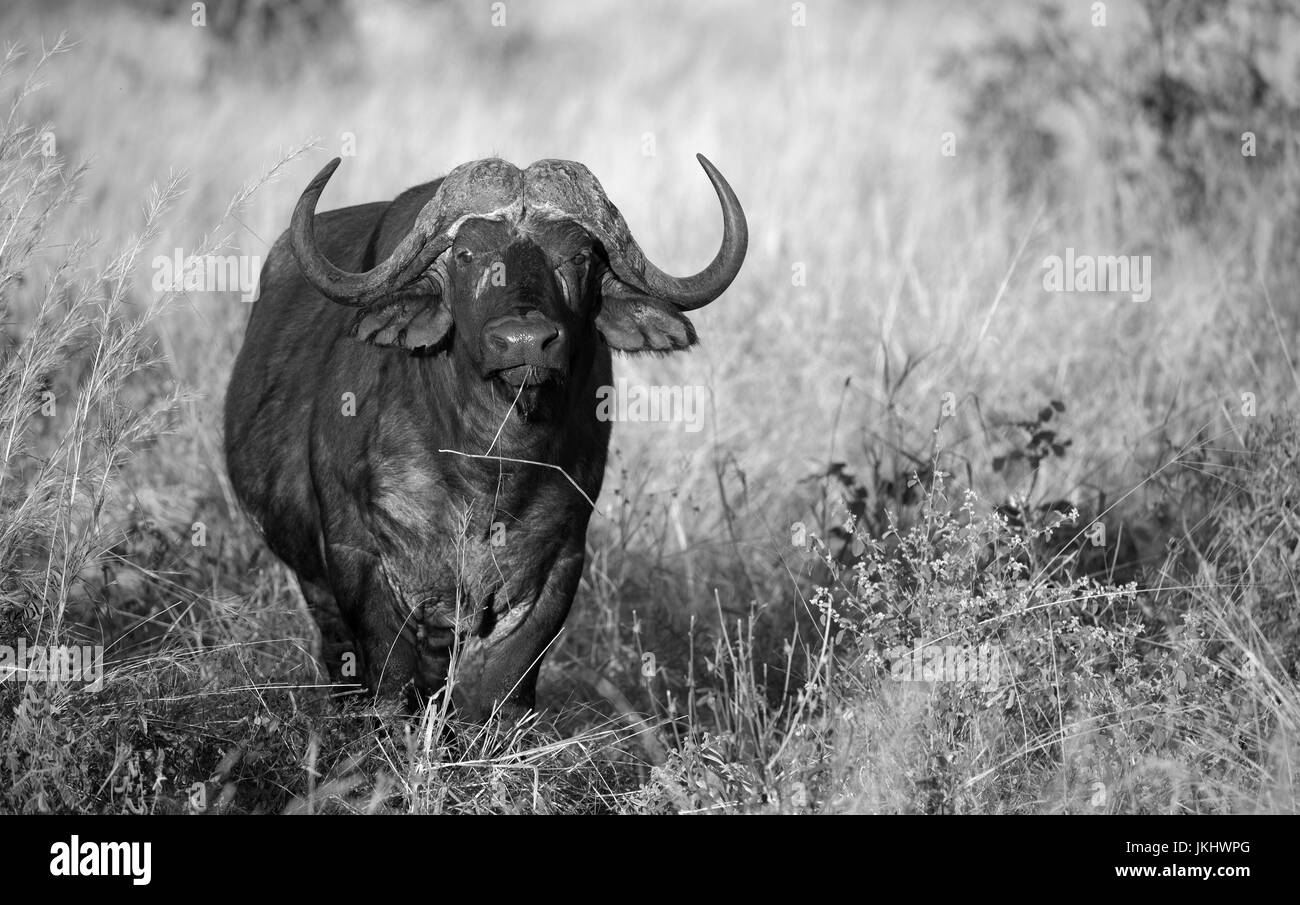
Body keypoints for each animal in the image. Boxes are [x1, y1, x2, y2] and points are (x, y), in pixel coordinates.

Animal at [226, 157, 743, 722]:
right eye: (467, 255)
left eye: (578, 256)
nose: (524, 342)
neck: (488, 468)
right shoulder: (355, 556)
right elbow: (389, 679)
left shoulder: (559, 565)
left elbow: (507, 690)